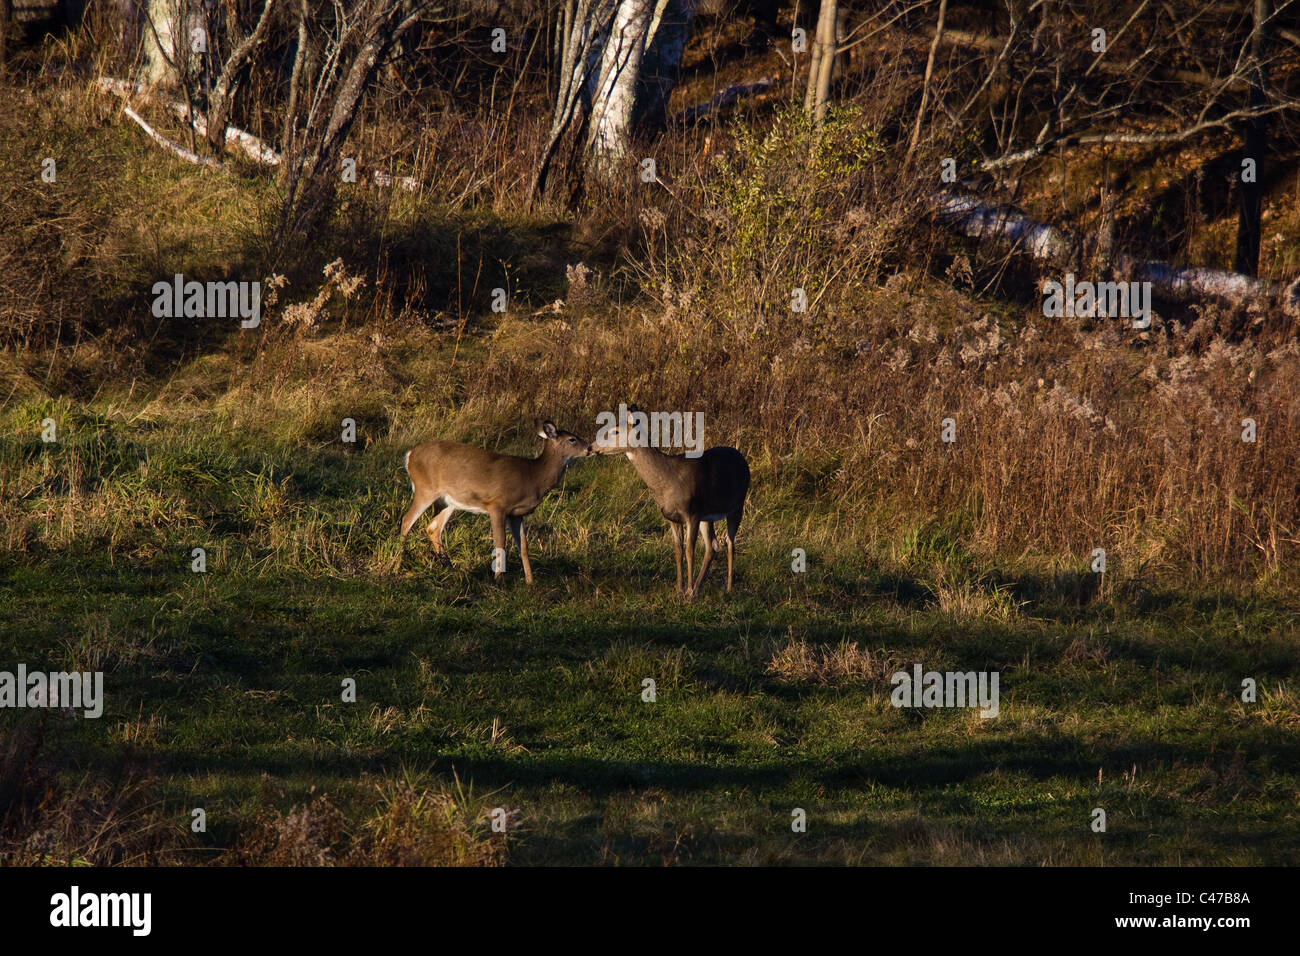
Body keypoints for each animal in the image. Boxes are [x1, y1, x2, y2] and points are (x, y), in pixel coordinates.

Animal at [399, 420, 593, 583]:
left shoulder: (517, 514)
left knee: (433, 527)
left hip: (448, 500)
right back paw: (400, 561)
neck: (533, 477)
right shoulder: (497, 505)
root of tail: (409, 455)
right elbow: (501, 542)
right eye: (572, 439)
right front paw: (499, 579)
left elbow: (523, 546)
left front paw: (530, 581)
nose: (590, 448)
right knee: (407, 520)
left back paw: (449, 567)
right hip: (425, 489)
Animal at [593, 408, 750, 600]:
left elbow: (689, 551)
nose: (591, 447)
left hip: (737, 505)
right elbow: (678, 550)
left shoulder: (692, 514)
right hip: (708, 515)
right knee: (712, 545)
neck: (668, 480)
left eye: (615, 431)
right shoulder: (673, 518)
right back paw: (697, 588)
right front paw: (680, 590)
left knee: (730, 544)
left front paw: (687, 592)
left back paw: (727, 588)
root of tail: (743, 459)